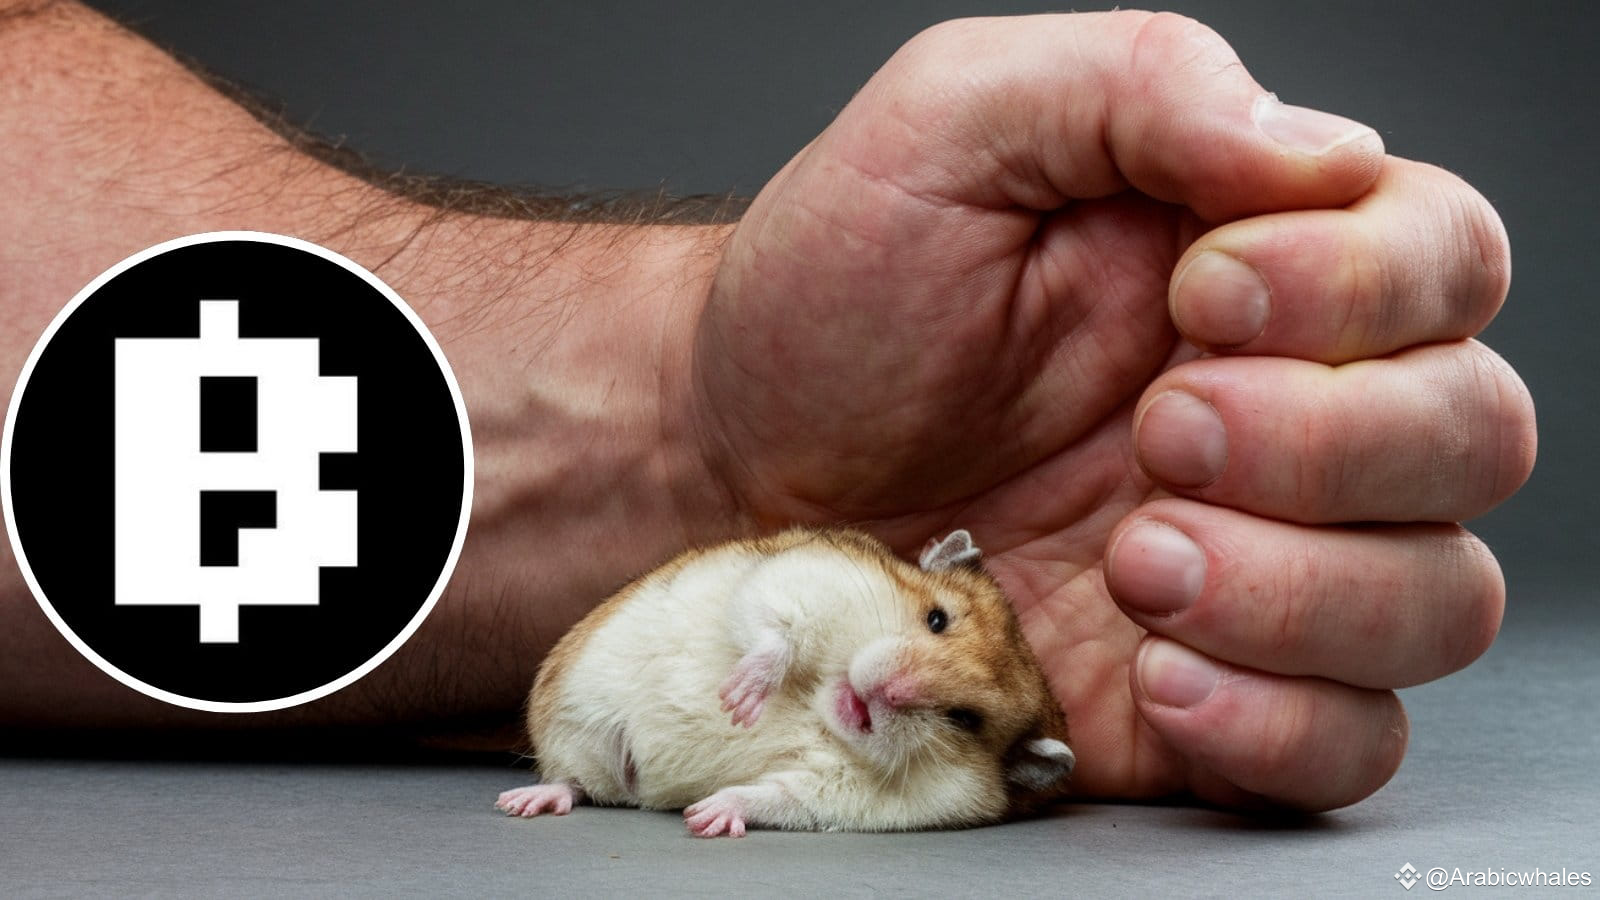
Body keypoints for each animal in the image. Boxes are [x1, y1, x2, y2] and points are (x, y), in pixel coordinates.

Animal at [494, 527, 1074, 837]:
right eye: (937, 618)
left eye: (965, 719)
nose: (885, 693)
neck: (820, 710)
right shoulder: (796, 580)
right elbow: (776, 629)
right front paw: (740, 703)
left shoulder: (837, 796)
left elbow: (772, 794)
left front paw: (705, 816)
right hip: (577, 732)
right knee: (571, 782)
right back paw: (519, 803)